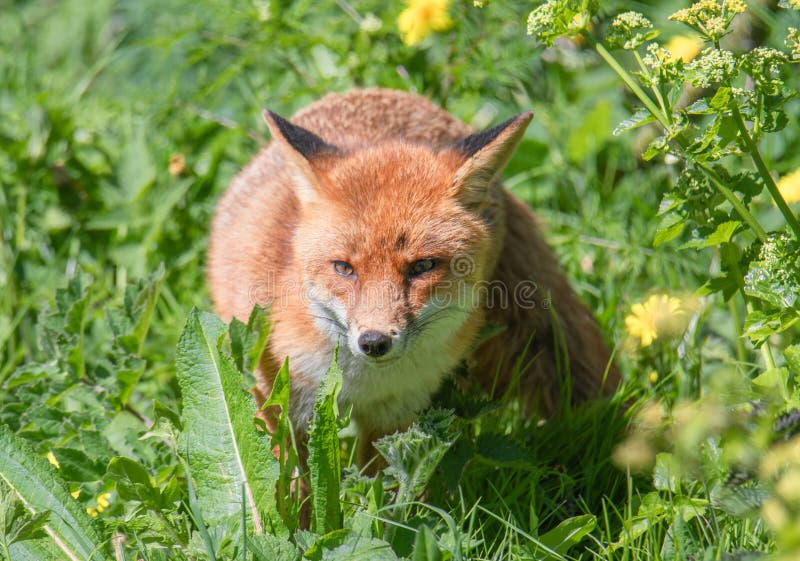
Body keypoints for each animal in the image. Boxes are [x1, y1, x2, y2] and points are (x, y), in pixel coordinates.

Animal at [208, 88, 619, 467]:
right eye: (343, 267)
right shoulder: (277, 401)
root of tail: (380, 91)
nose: (374, 342)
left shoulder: (396, 414)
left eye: (421, 267)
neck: (362, 384)